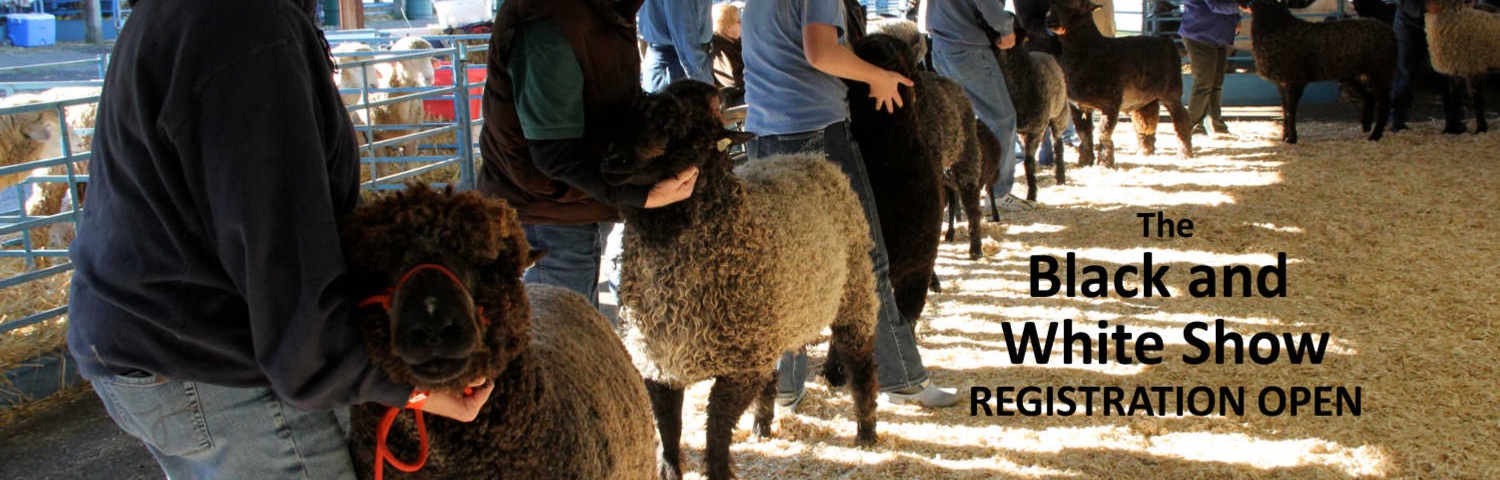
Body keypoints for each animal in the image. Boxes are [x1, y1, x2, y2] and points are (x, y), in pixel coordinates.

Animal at [603, 81, 878, 480]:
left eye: (689, 131)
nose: (611, 159)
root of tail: (814, 159)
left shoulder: (739, 368)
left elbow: (716, 436)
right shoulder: (658, 366)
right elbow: (669, 437)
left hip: (855, 291)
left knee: (860, 364)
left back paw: (867, 432)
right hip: (774, 326)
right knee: (774, 375)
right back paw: (763, 426)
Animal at [1047, 0, 1194, 167]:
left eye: (1074, 4)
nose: (1049, 20)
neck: (1091, 50)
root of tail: (1167, 40)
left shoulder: (1110, 103)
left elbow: (1103, 132)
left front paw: (1105, 161)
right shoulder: (1078, 105)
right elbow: (1084, 133)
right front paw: (1084, 161)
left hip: (1172, 92)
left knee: (1181, 119)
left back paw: (1184, 153)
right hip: (1144, 97)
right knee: (1145, 121)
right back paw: (1144, 151)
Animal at [1242, 0, 1396, 143]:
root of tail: (1388, 30)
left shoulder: (1295, 80)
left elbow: (1291, 111)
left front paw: (1292, 139)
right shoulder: (1281, 83)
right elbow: (1285, 110)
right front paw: (1285, 137)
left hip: (1379, 71)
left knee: (1384, 104)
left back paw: (1375, 135)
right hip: (1351, 74)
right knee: (1369, 96)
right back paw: (1366, 126)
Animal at [1425, 0, 1500, 133]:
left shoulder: (1475, 67)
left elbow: (1476, 98)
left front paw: (1481, 128)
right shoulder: (1456, 69)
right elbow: (1454, 98)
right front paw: (1450, 129)